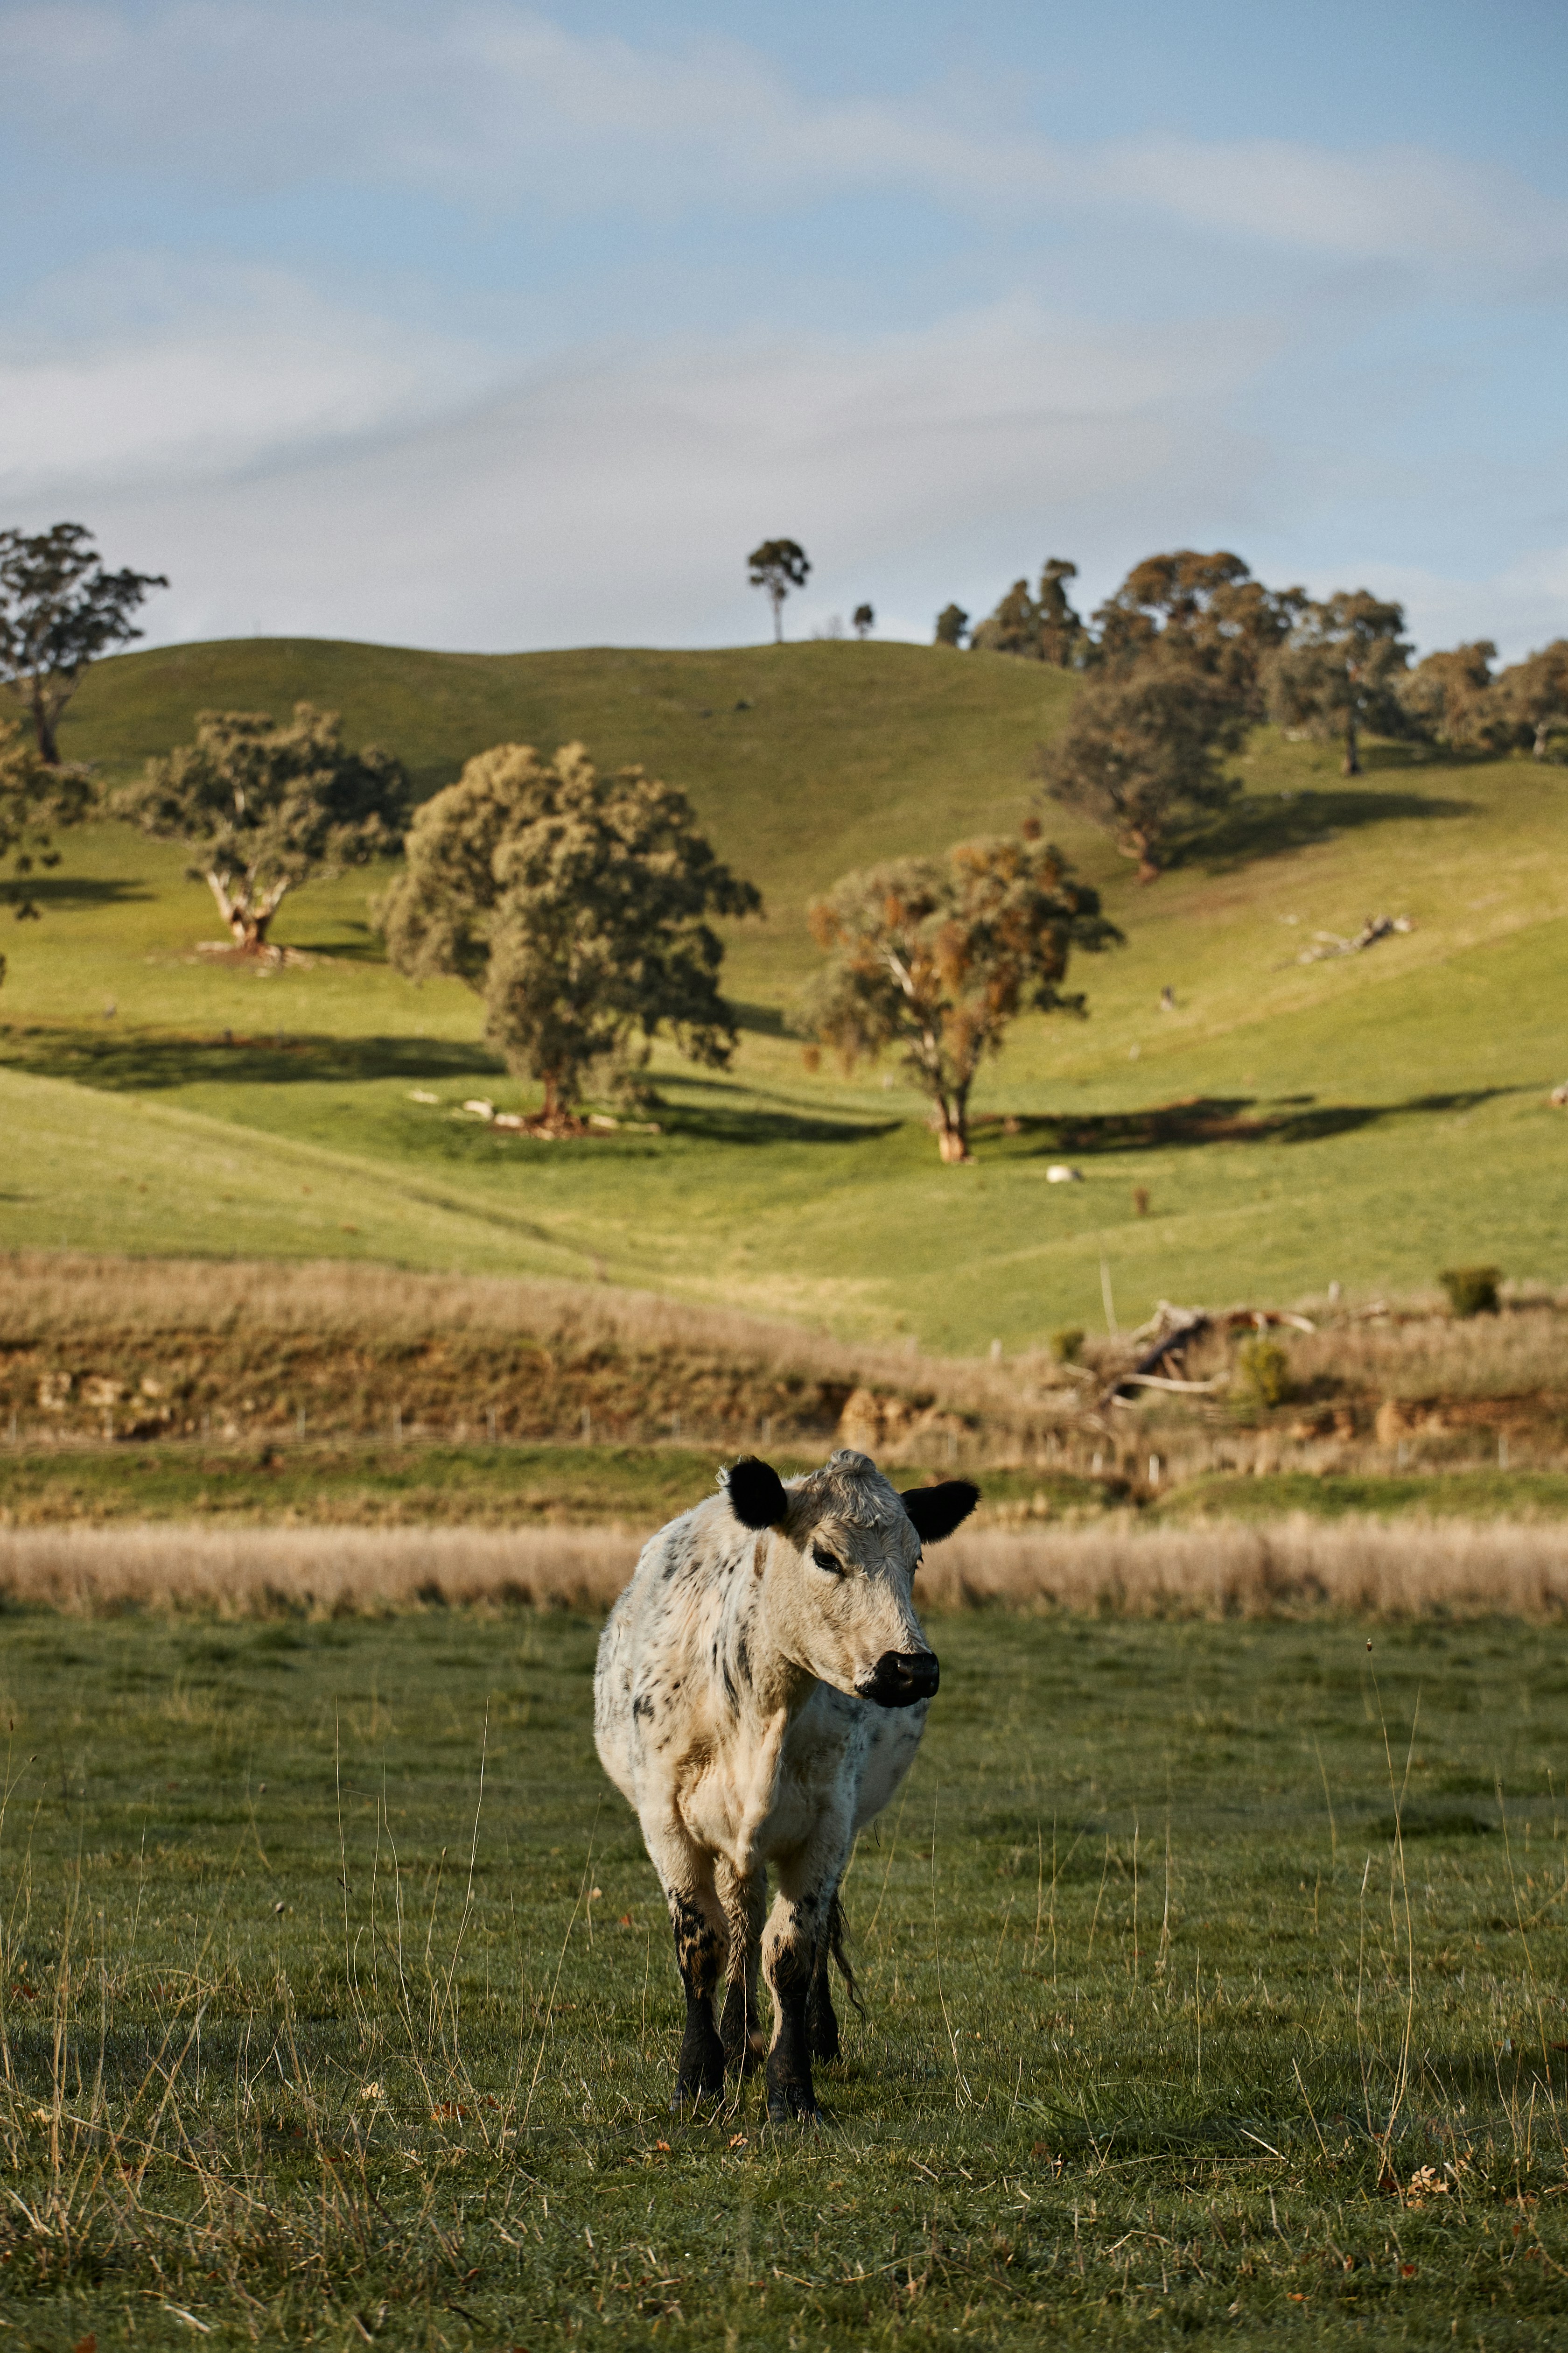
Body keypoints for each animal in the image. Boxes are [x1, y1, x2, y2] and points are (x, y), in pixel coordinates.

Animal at [594, 1448, 978, 2123]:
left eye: (915, 1559)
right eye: (825, 1556)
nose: (912, 1669)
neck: (761, 1707)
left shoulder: (828, 1825)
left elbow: (793, 1950)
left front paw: (792, 2089)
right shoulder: (667, 1824)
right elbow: (703, 1945)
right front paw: (700, 2078)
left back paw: (811, 2040)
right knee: (740, 1923)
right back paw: (735, 2041)